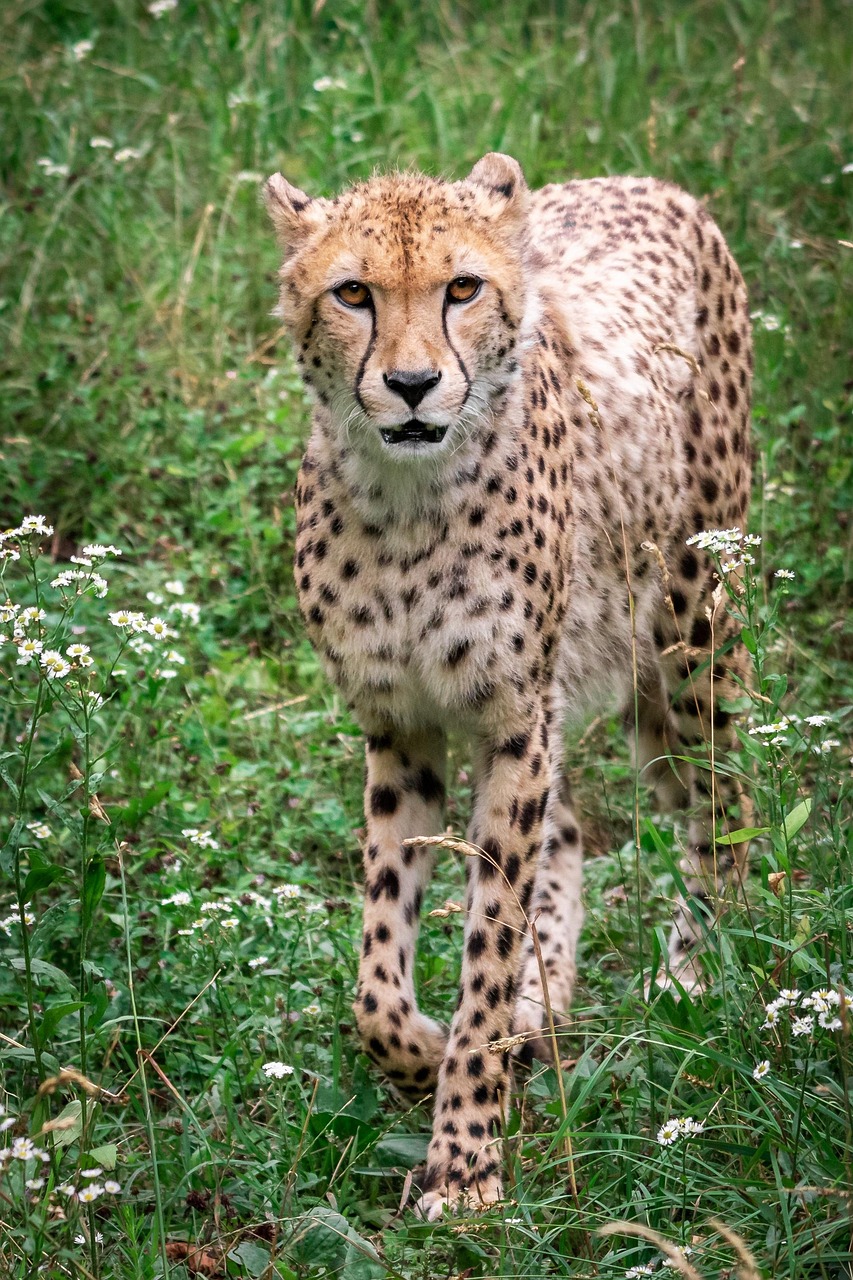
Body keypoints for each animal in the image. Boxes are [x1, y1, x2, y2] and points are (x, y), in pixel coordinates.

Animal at [264, 152, 754, 1220]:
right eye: (352, 293)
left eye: (461, 288)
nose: (411, 386)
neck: (408, 504)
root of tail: (650, 180)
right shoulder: (402, 729)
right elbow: (375, 982)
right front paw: (432, 1051)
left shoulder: (510, 720)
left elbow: (485, 939)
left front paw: (464, 1162)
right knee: (571, 828)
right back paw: (549, 1001)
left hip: (687, 628)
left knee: (726, 800)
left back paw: (706, 978)